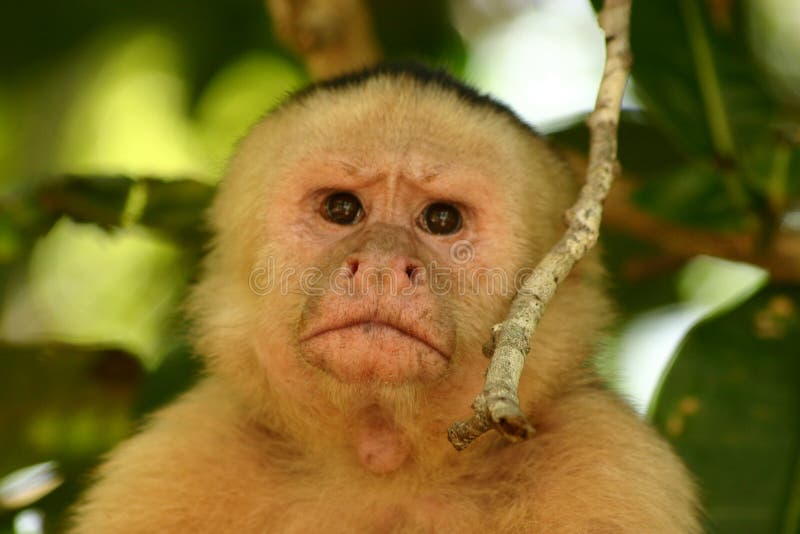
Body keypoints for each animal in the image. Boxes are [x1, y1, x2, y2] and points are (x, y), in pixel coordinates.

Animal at [69, 65, 699, 533]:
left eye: (441, 220)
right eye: (342, 209)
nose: (380, 267)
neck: (383, 465)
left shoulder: (608, 467)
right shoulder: (172, 465)